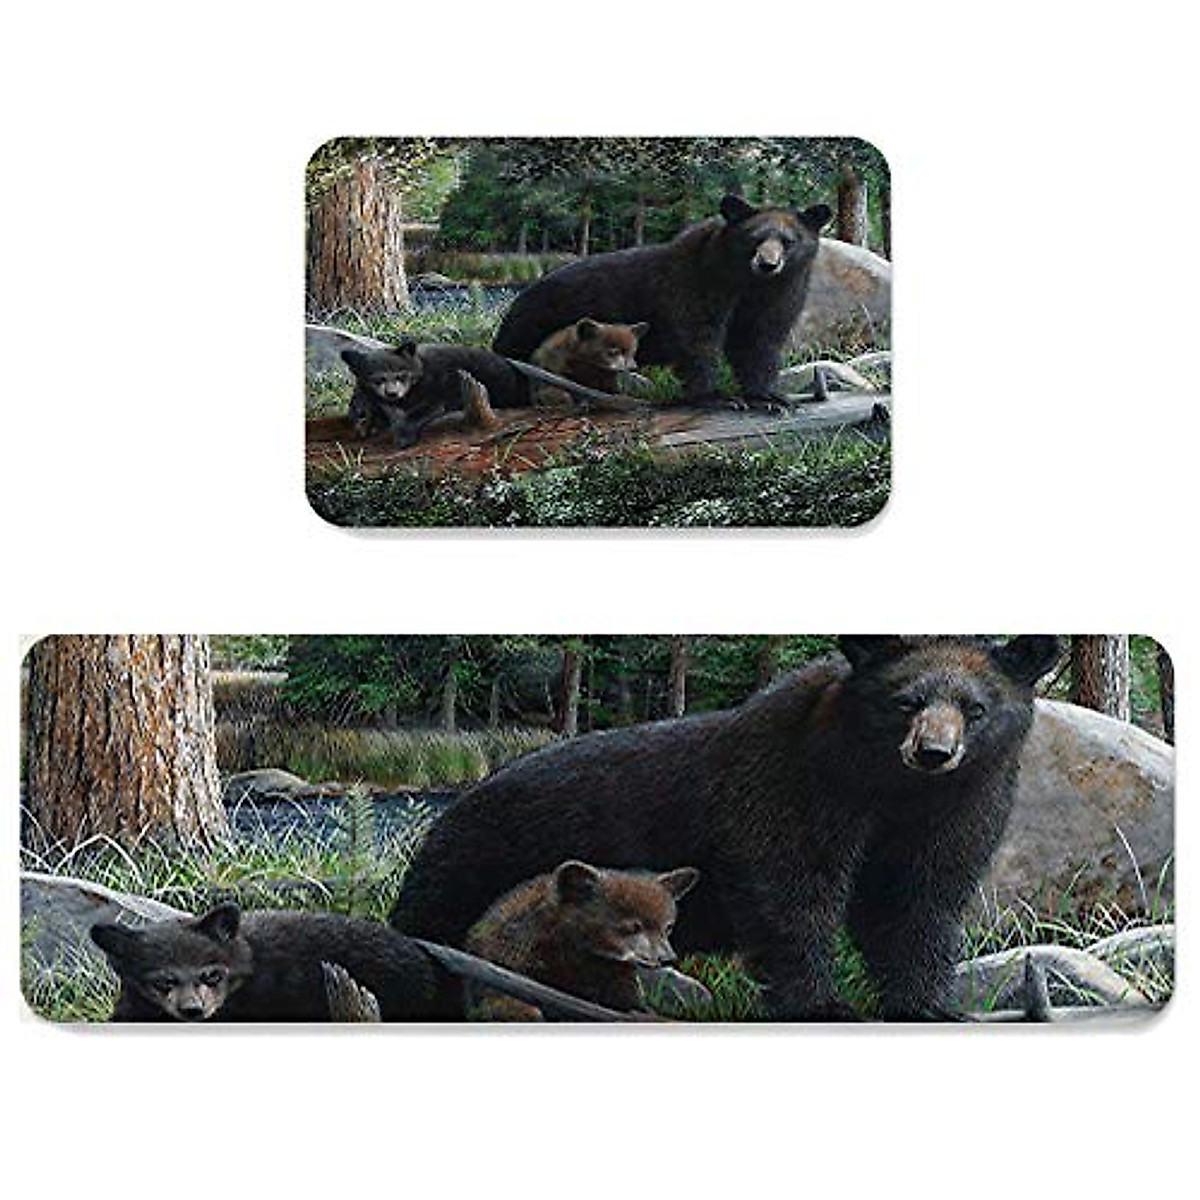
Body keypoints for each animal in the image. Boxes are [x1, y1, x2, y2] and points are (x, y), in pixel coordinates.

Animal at [492, 195, 832, 407]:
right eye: (754, 237)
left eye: (789, 241)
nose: (768, 264)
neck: (747, 284)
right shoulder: (695, 285)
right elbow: (697, 338)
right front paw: (717, 396)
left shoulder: (780, 294)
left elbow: (759, 340)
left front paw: (768, 396)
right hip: (528, 332)